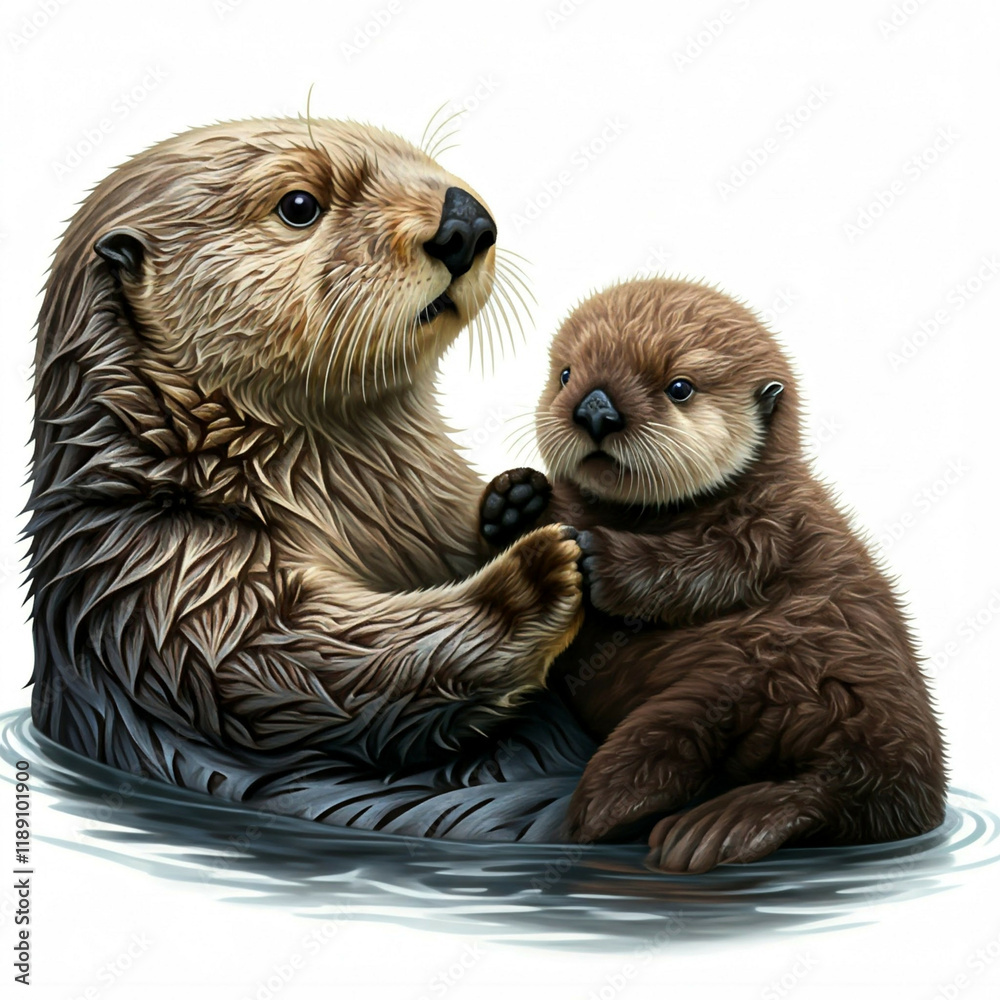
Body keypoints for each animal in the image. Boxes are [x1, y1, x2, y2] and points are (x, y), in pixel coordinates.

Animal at [25, 117, 590, 840]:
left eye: (424, 160)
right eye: (300, 205)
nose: (464, 221)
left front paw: (516, 500)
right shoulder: (160, 578)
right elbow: (289, 665)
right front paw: (531, 577)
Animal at [481, 278, 947, 870]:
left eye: (679, 387)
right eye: (565, 374)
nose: (594, 409)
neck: (643, 516)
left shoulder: (775, 521)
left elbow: (709, 566)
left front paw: (599, 557)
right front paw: (513, 500)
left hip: (794, 673)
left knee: (812, 774)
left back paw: (639, 817)